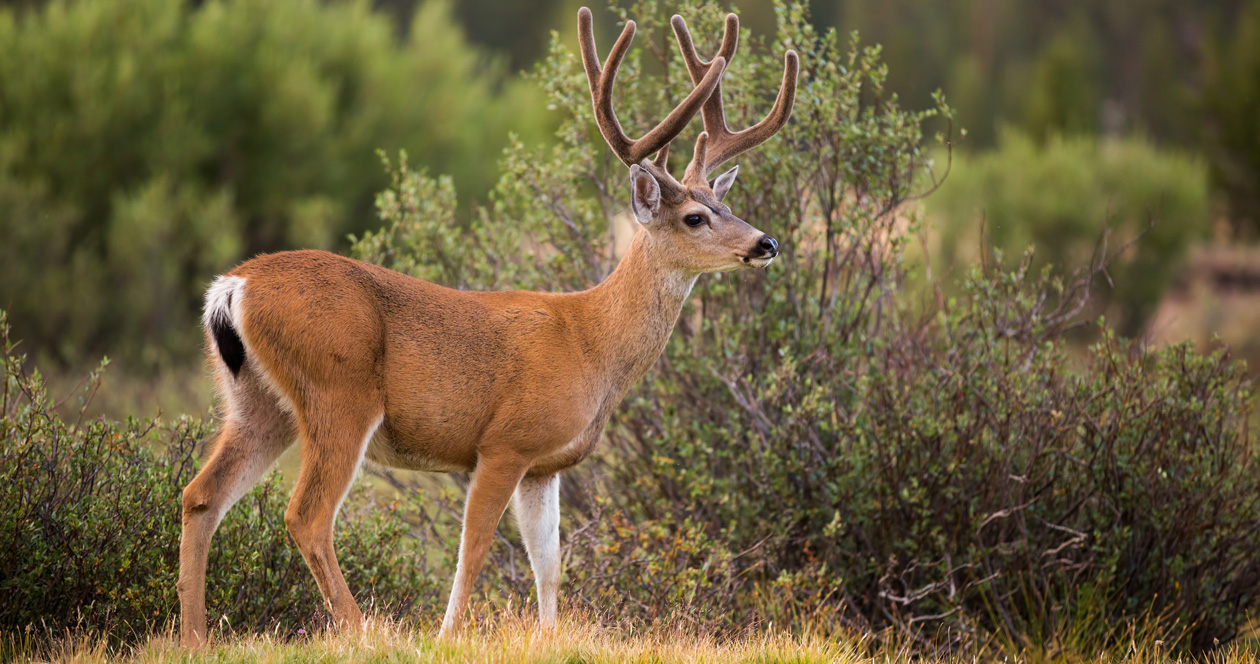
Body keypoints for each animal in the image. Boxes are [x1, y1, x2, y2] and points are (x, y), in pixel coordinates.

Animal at [177, 6, 797, 647]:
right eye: (695, 217)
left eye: (727, 206)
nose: (766, 243)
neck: (592, 343)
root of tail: (232, 288)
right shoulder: (505, 443)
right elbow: (473, 550)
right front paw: (447, 636)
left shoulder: (544, 467)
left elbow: (548, 563)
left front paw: (548, 637)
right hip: (338, 391)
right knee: (306, 514)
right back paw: (363, 629)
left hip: (256, 402)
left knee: (201, 495)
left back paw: (194, 635)